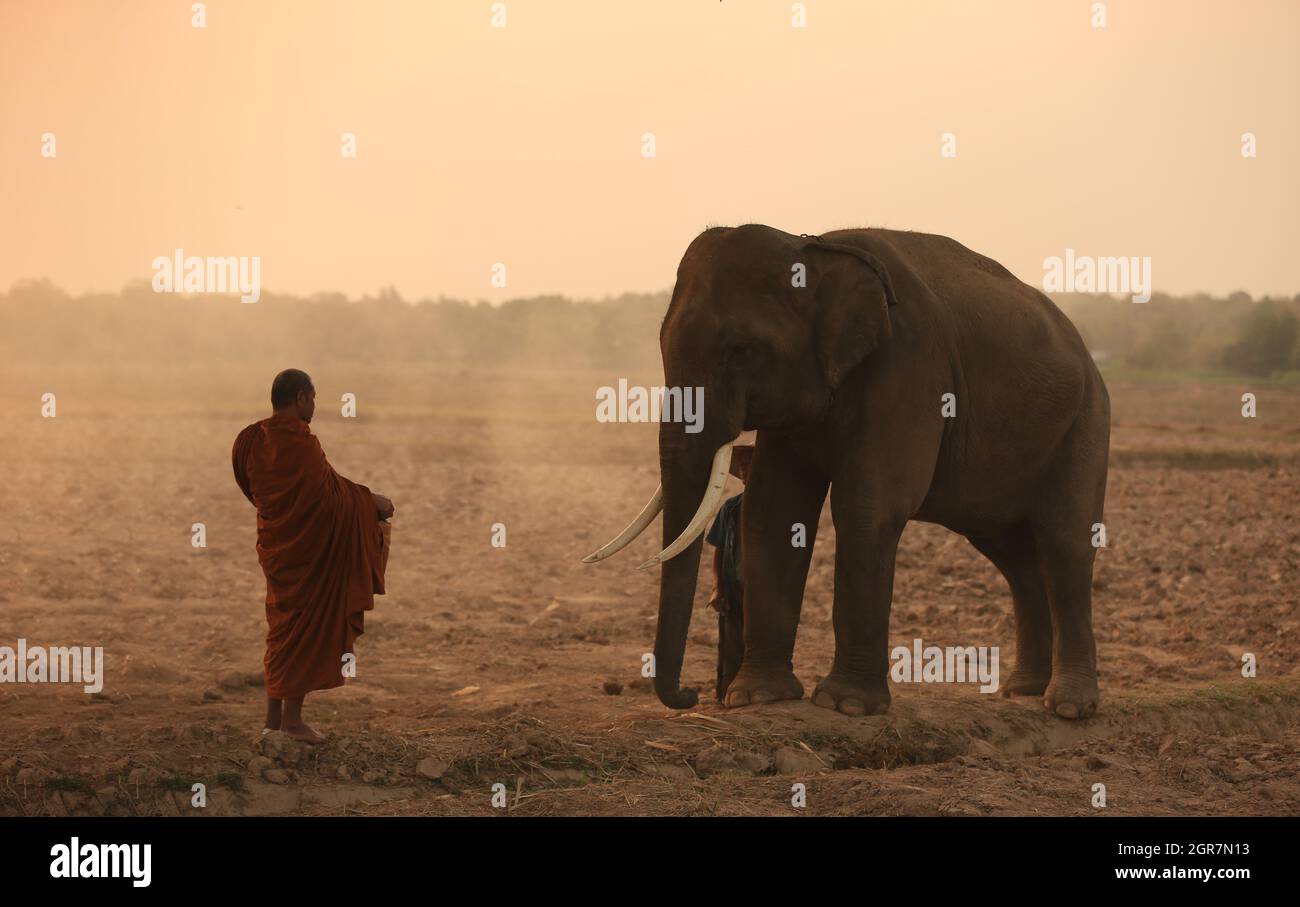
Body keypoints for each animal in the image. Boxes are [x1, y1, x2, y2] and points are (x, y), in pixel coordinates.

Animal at [585, 224, 1109, 720]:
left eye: (741, 350)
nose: (692, 695)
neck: (815, 249)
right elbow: (773, 509)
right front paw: (757, 697)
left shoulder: (911, 366)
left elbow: (868, 505)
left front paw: (846, 706)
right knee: (1012, 554)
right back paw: (1023, 691)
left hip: (1085, 421)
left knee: (1064, 542)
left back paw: (1067, 706)